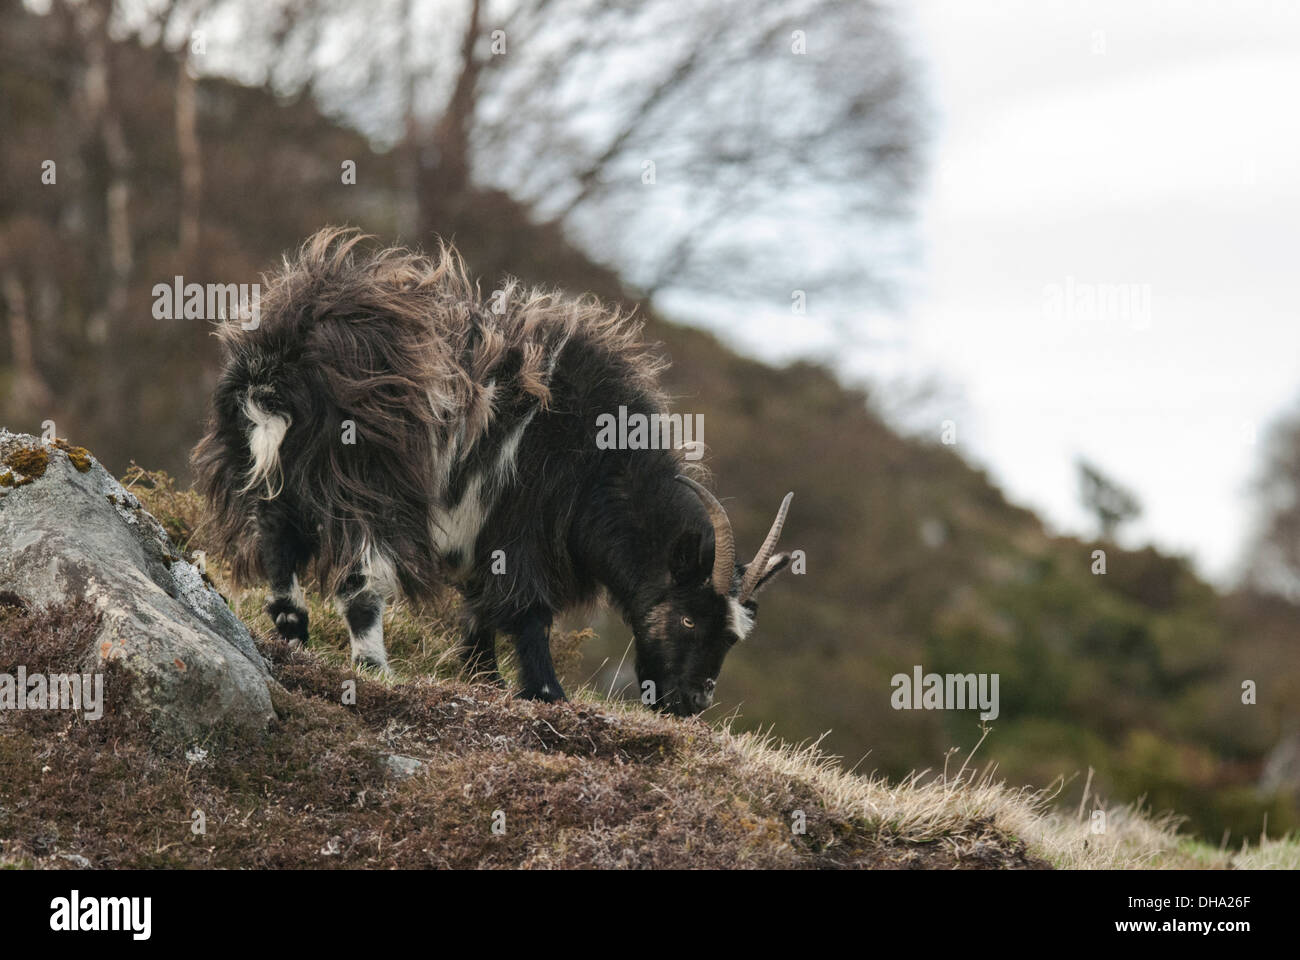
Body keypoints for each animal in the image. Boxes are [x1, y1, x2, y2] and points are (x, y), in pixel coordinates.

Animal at [192, 228, 794, 715]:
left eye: (734, 636)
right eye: (690, 618)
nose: (689, 704)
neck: (600, 464)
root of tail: (285, 350)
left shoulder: (481, 533)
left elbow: (478, 604)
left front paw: (484, 676)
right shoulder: (520, 525)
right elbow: (526, 611)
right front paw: (546, 692)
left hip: (272, 468)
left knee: (278, 540)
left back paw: (293, 632)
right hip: (366, 481)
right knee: (362, 578)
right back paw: (374, 668)